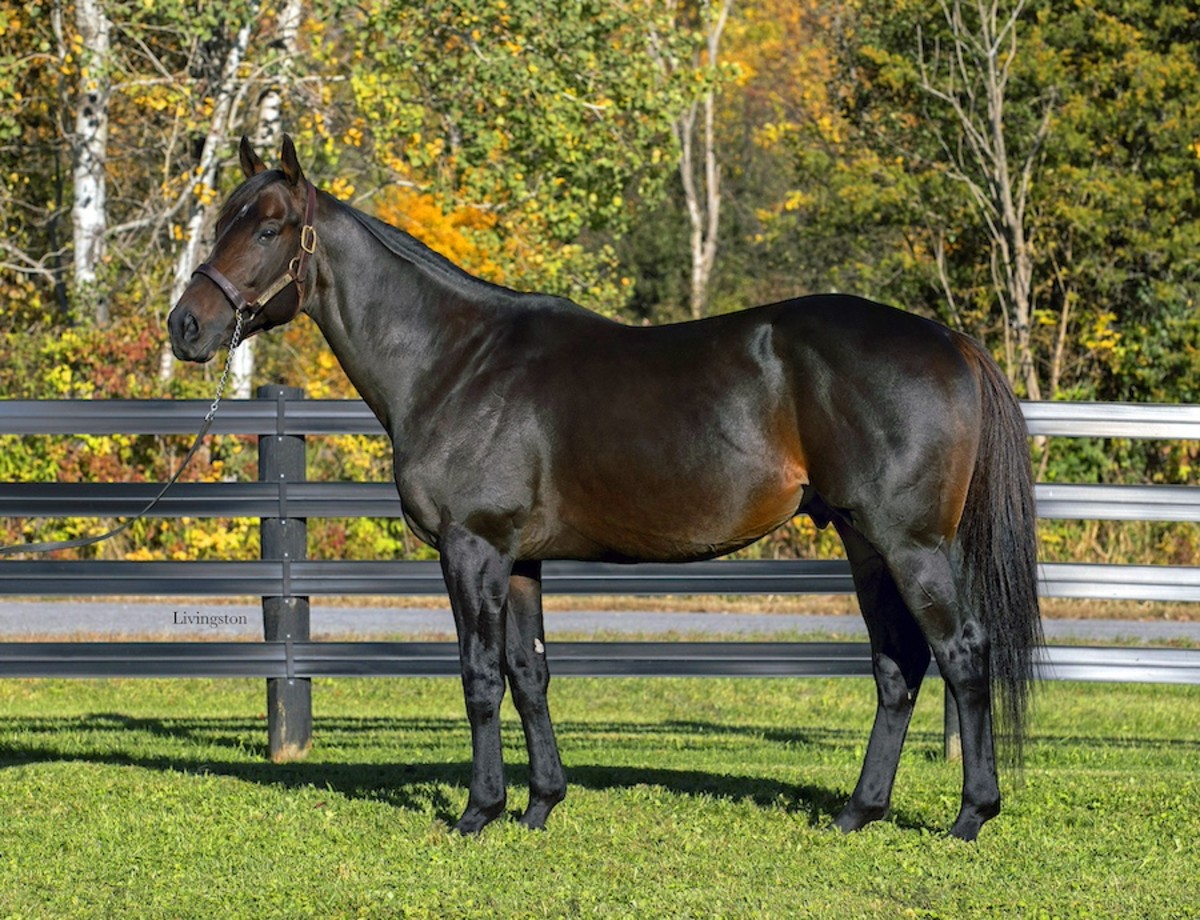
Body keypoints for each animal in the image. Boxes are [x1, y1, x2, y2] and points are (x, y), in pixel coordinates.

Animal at [168, 136, 1041, 841]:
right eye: (223, 222)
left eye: (269, 227)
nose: (186, 326)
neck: (454, 360)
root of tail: (951, 340)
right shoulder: (518, 560)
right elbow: (529, 675)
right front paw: (540, 805)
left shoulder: (471, 548)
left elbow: (479, 677)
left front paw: (479, 812)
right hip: (864, 542)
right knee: (898, 667)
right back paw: (858, 813)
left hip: (910, 545)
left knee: (961, 654)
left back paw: (971, 816)